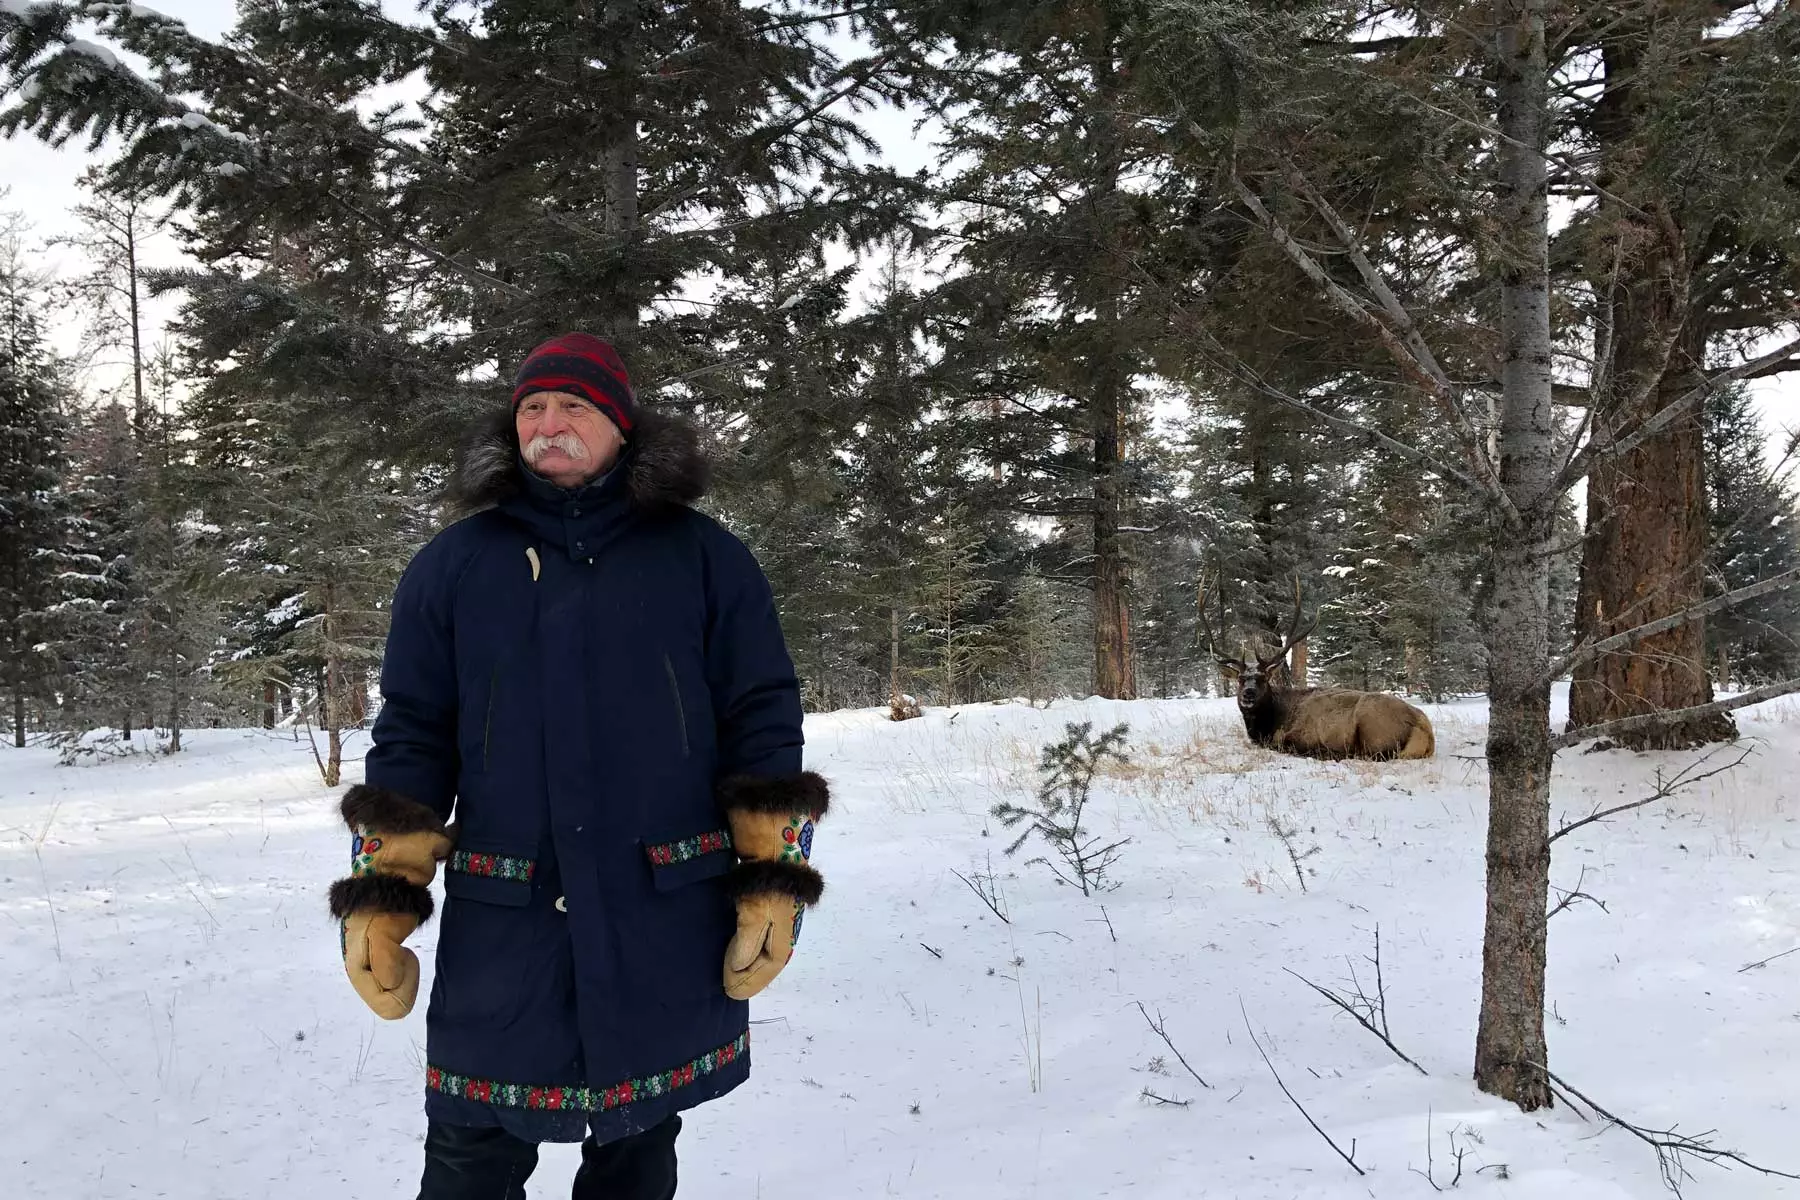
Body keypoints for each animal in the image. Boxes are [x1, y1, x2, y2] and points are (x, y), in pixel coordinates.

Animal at [1202, 579, 1440, 766]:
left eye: (1263, 679)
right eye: (1241, 679)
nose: (1248, 694)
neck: (1269, 724)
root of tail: (1425, 730)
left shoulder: (1297, 736)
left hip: (1373, 726)